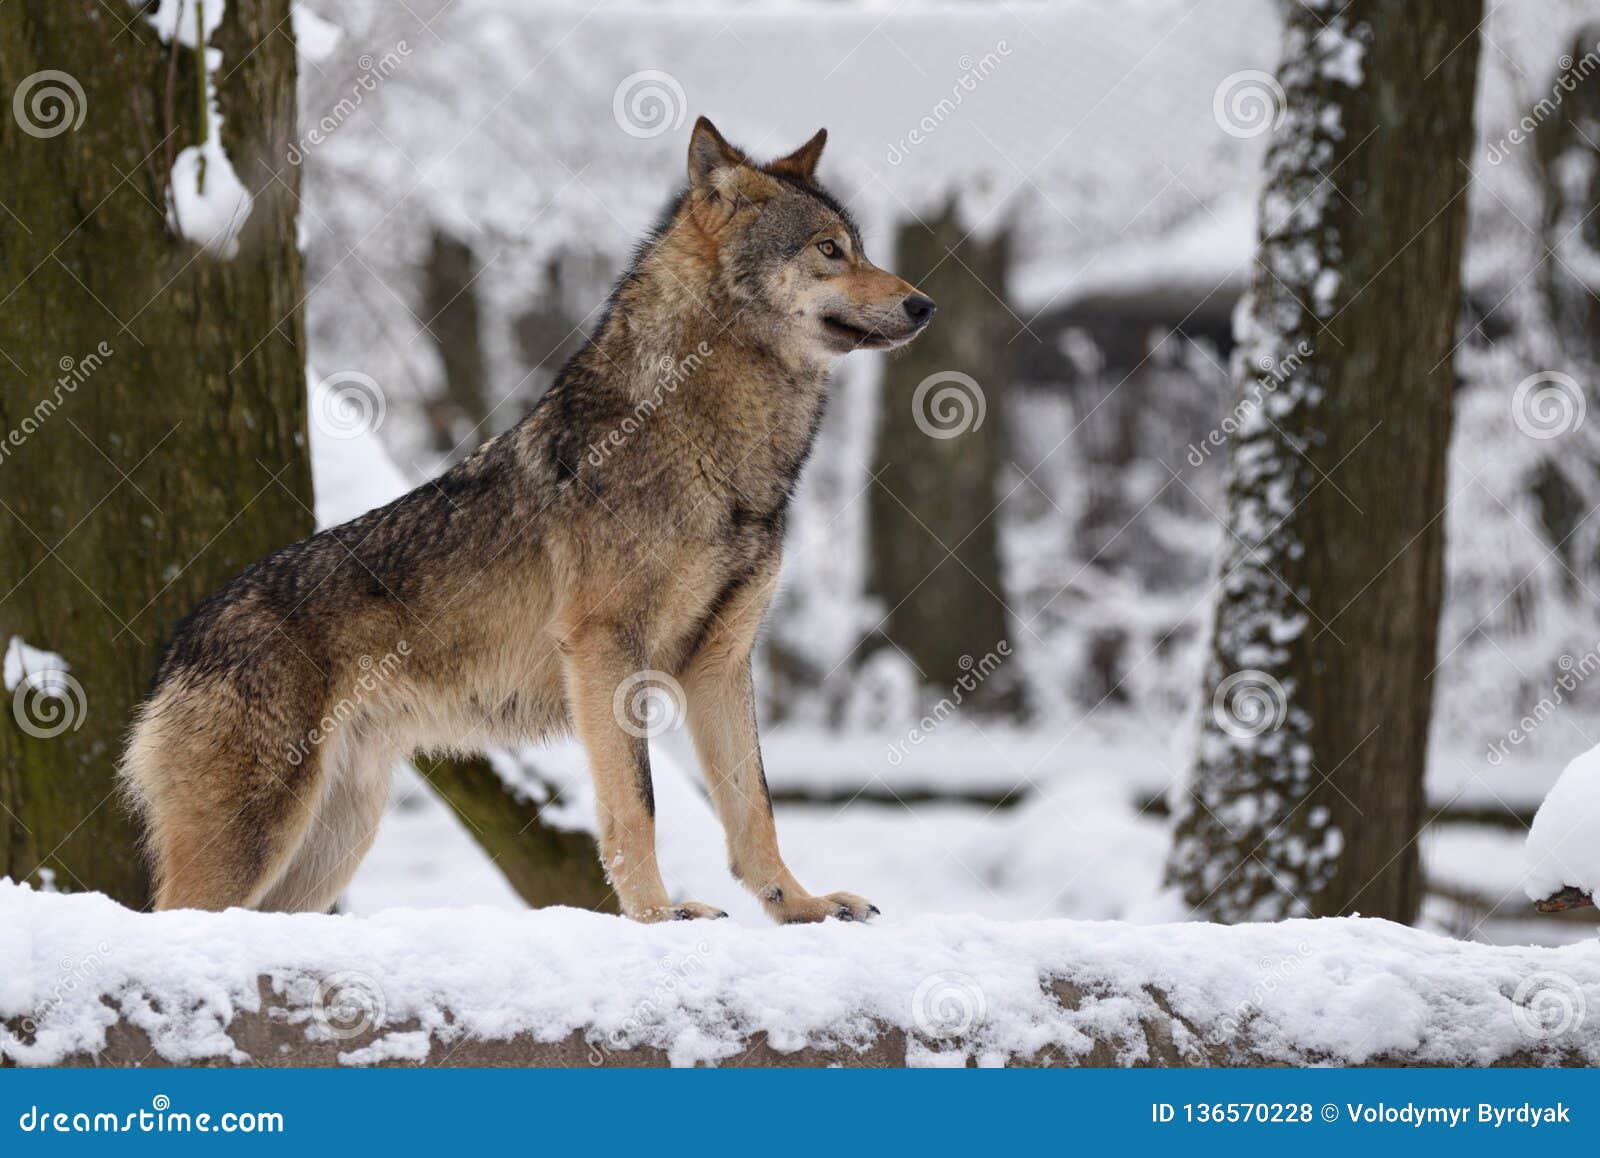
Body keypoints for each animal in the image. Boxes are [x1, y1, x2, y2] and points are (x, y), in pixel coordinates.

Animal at [120, 118, 936, 923]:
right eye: (828, 250)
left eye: (860, 246)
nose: (923, 305)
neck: (721, 454)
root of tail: (178, 643)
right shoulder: (605, 648)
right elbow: (635, 807)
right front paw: (657, 918)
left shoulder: (722, 663)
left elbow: (756, 808)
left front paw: (800, 906)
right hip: (257, 841)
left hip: (328, 847)